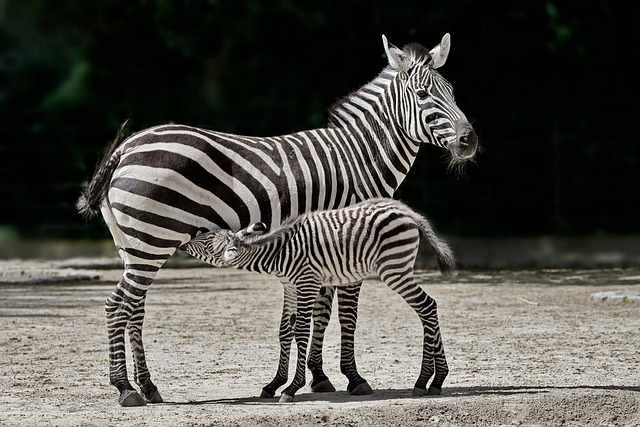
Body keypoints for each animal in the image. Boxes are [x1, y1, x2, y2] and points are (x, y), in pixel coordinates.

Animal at [180, 197, 456, 402]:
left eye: (206, 242)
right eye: (206, 235)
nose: (184, 242)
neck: (278, 254)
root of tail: (408, 212)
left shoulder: (307, 284)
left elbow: (302, 330)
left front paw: (292, 388)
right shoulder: (290, 288)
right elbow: (285, 331)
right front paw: (273, 384)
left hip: (394, 269)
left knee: (427, 307)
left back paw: (426, 380)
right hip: (398, 270)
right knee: (428, 309)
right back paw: (434, 381)